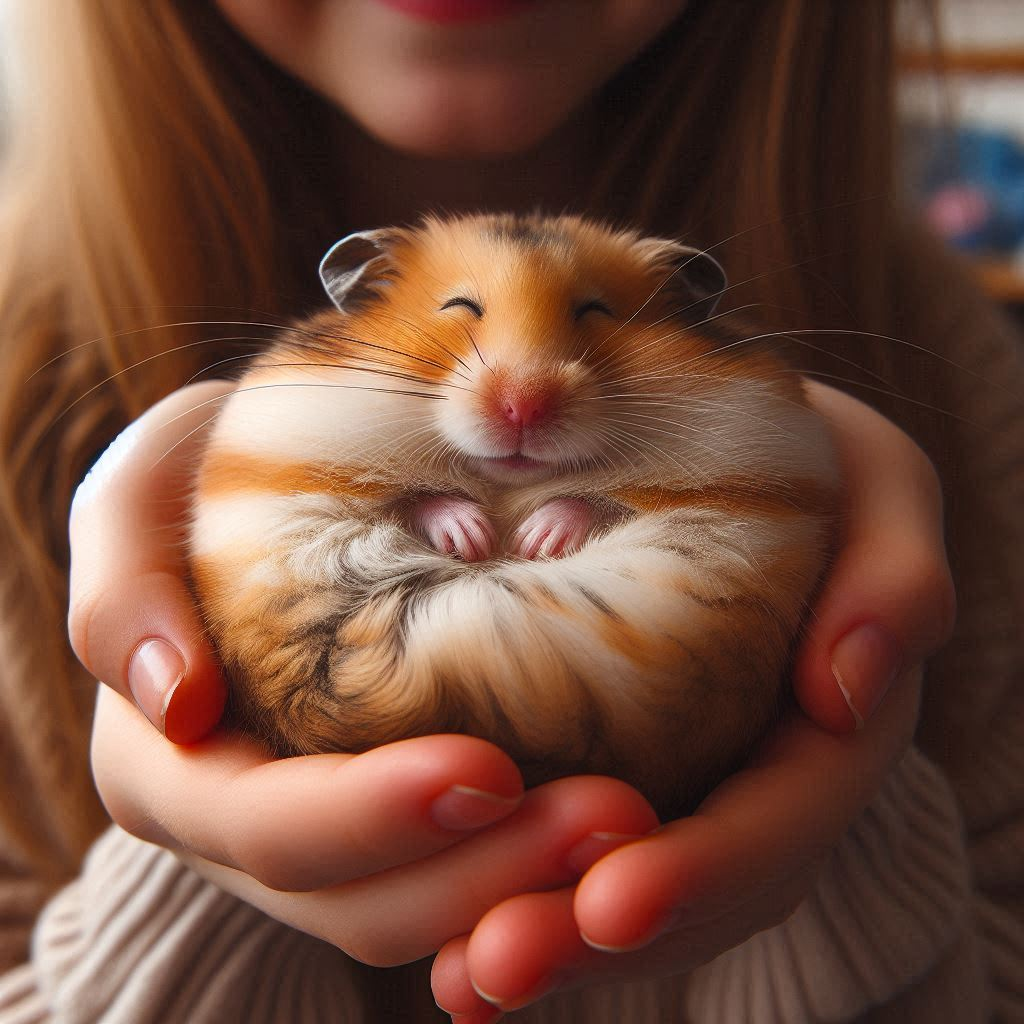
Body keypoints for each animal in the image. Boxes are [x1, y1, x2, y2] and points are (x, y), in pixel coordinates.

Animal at [187, 213, 840, 819]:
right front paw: (474, 539)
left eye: (595, 310)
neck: (507, 483)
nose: (524, 407)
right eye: (460, 305)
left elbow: (592, 499)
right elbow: (416, 498)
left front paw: (534, 541)